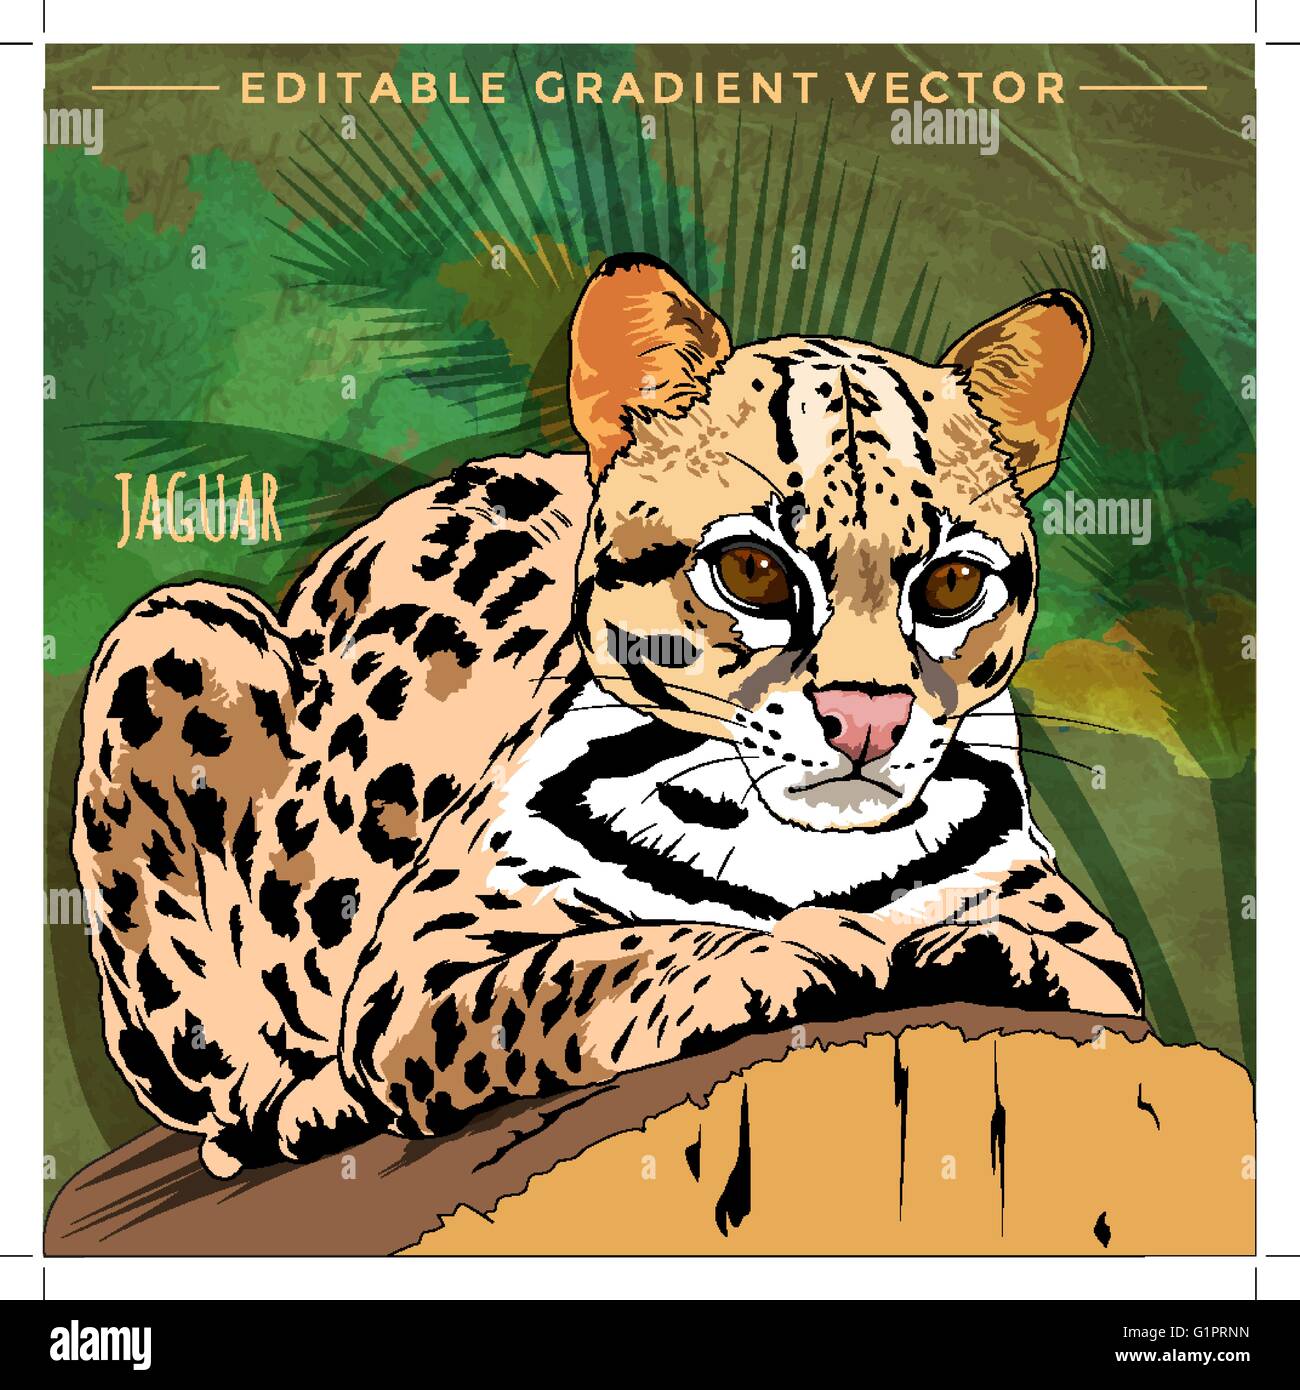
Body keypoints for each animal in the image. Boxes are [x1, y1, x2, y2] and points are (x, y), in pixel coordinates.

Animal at [73, 253, 1143, 1178]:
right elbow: (603, 961)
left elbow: (1081, 970)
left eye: (954, 584)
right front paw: (779, 953)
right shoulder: (426, 964)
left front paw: (978, 951)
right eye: (752, 571)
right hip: (174, 638)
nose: (866, 717)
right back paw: (303, 1099)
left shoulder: (1090, 941)